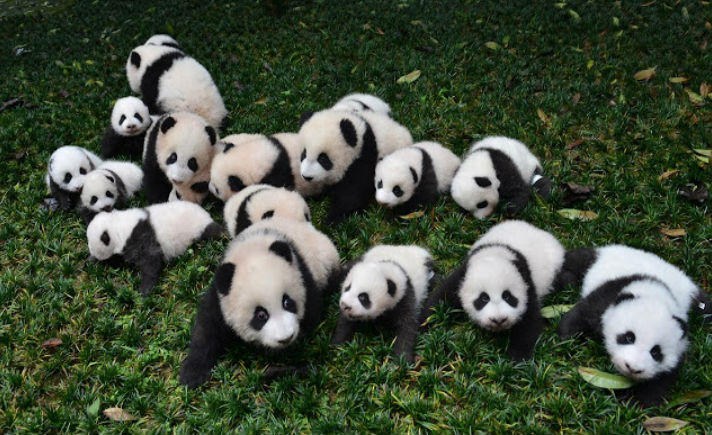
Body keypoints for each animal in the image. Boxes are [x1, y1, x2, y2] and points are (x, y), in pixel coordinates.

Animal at [86, 200, 223, 295]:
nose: (92, 254)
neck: (118, 227)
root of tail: (206, 214)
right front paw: (89, 261)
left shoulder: (140, 238)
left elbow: (151, 261)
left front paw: (144, 290)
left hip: (199, 227)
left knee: (213, 231)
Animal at [178, 217, 340, 388]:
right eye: (261, 315)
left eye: (287, 303)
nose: (286, 338)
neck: (252, 249)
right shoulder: (221, 294)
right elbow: (207, 328)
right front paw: (192, 375)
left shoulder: (302, 275)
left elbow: (312, 310)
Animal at [422, 220, 565, 361]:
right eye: (484, 298)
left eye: (507, 296)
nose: (499, 320)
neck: (495, 254)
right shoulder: (462, 276)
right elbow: (441, 298)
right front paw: (423, 323)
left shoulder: (526, 282)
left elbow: (529, 320)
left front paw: (517, 359)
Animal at [557, 245, 712, 406]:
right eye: (629, 337)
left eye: (656, 352)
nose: (632, 368)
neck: (658, 295)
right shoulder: (612, 293)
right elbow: (585, 312)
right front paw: (567, 340)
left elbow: (661, 379)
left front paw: (637, 403)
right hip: (597, 258)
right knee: (576, 261)